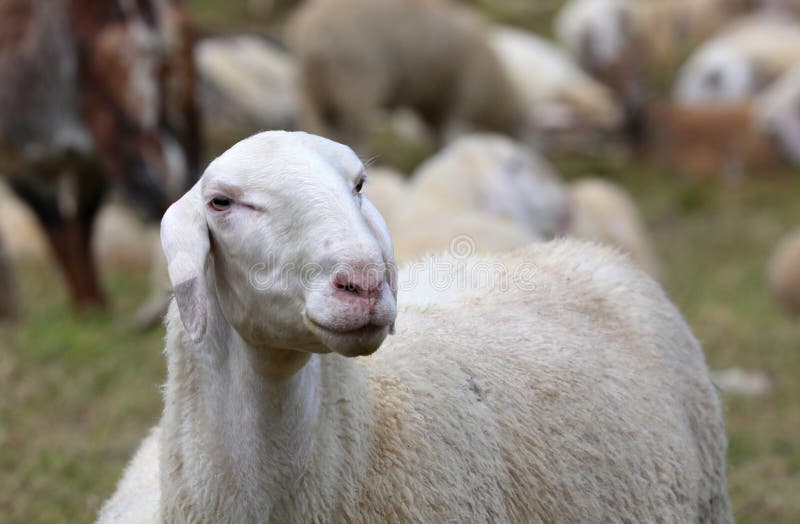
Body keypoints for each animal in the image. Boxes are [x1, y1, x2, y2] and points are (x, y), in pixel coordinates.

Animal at [288, 0, 523, 153]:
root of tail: (319, 37)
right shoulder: (460, 97)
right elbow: (447, 133)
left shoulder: (436, 105)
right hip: (358, 81)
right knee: (354, 127)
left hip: (315, 84)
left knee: (314, 118)